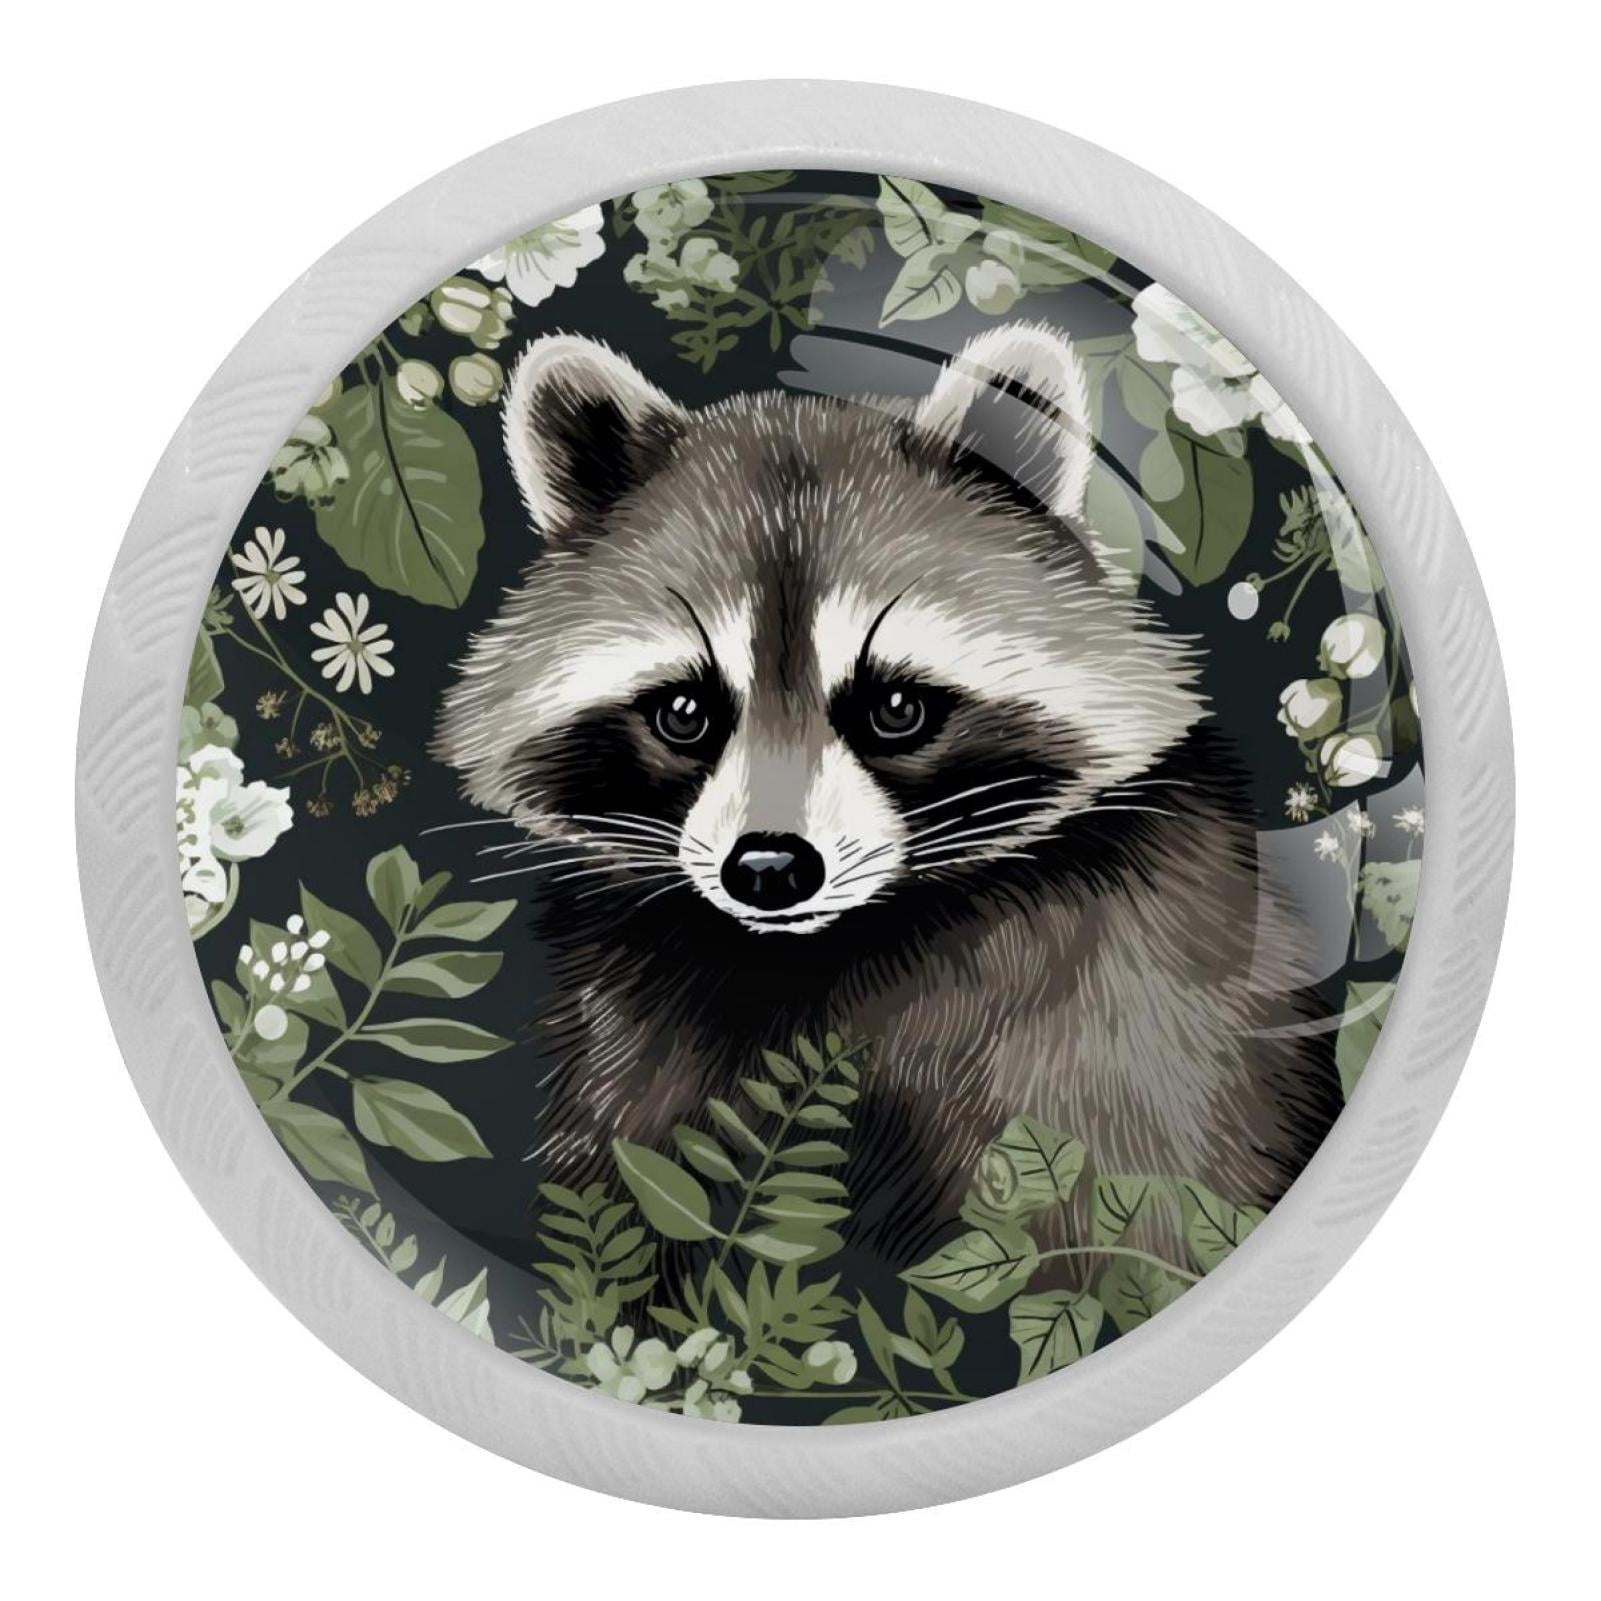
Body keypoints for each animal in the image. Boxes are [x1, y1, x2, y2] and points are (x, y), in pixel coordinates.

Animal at [435, 323, 1341, 1276]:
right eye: (684, 713)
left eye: (896, 709)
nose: (768, 867)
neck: (816, 956)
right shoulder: (631, 1027)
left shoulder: (1128, 999)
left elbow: (1134, 1193)